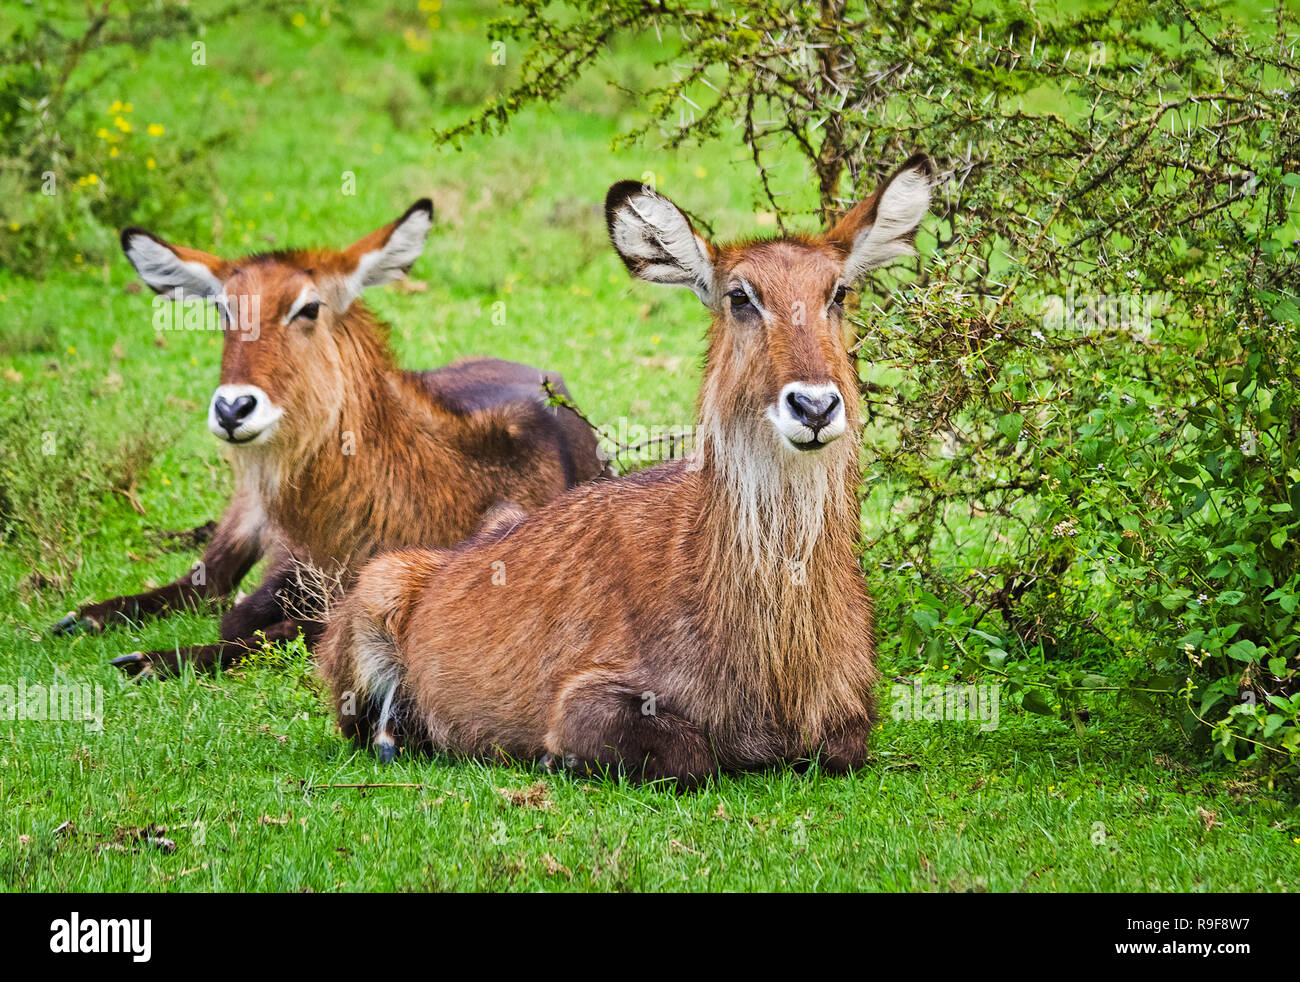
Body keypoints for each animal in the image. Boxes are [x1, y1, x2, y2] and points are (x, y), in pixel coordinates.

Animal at [52, 199, 605, 675]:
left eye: (308, 308)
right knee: (203, 582)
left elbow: (268, 628)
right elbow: (242, 615)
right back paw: (86, 616)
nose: (233, 408)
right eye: (225, 310)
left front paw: (159, 658)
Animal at [319, 154, 934, 783]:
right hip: (378, 590)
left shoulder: (851, 718)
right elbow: (691, 753)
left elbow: (842, 749)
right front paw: (551, 755)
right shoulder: (585, 696)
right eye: (741, 296)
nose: (813, 406)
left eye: (839, 292)